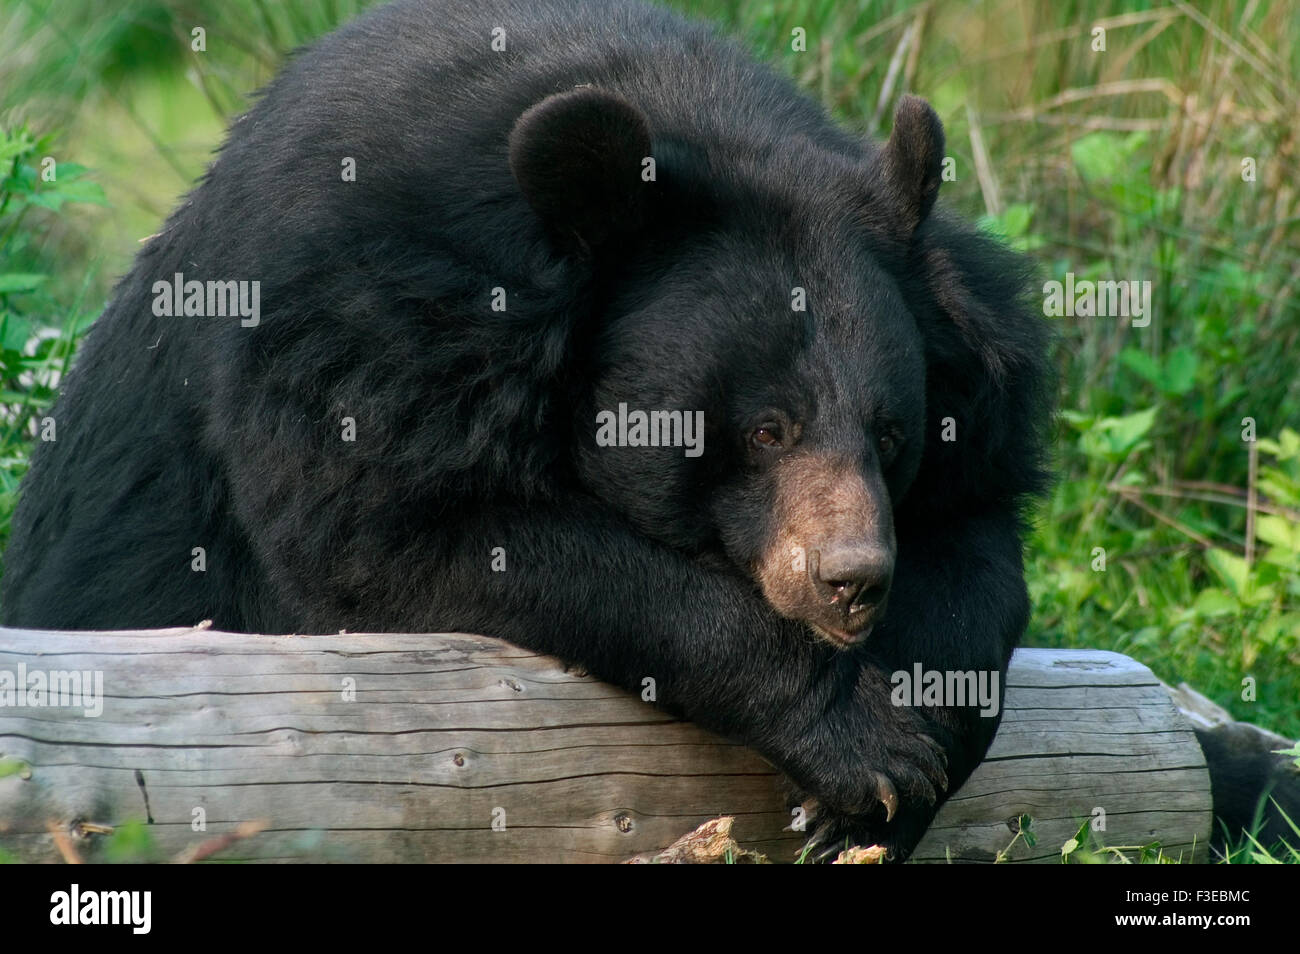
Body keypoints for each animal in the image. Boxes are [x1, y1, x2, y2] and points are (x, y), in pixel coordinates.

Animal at [2, 0, 1054, 861]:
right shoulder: (374, 328)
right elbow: (403, 534)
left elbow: (976, 543)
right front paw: (861, 746)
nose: (851, 581)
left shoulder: (975, 373)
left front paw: (895, 772)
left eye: (891, 434)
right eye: (765, 431)